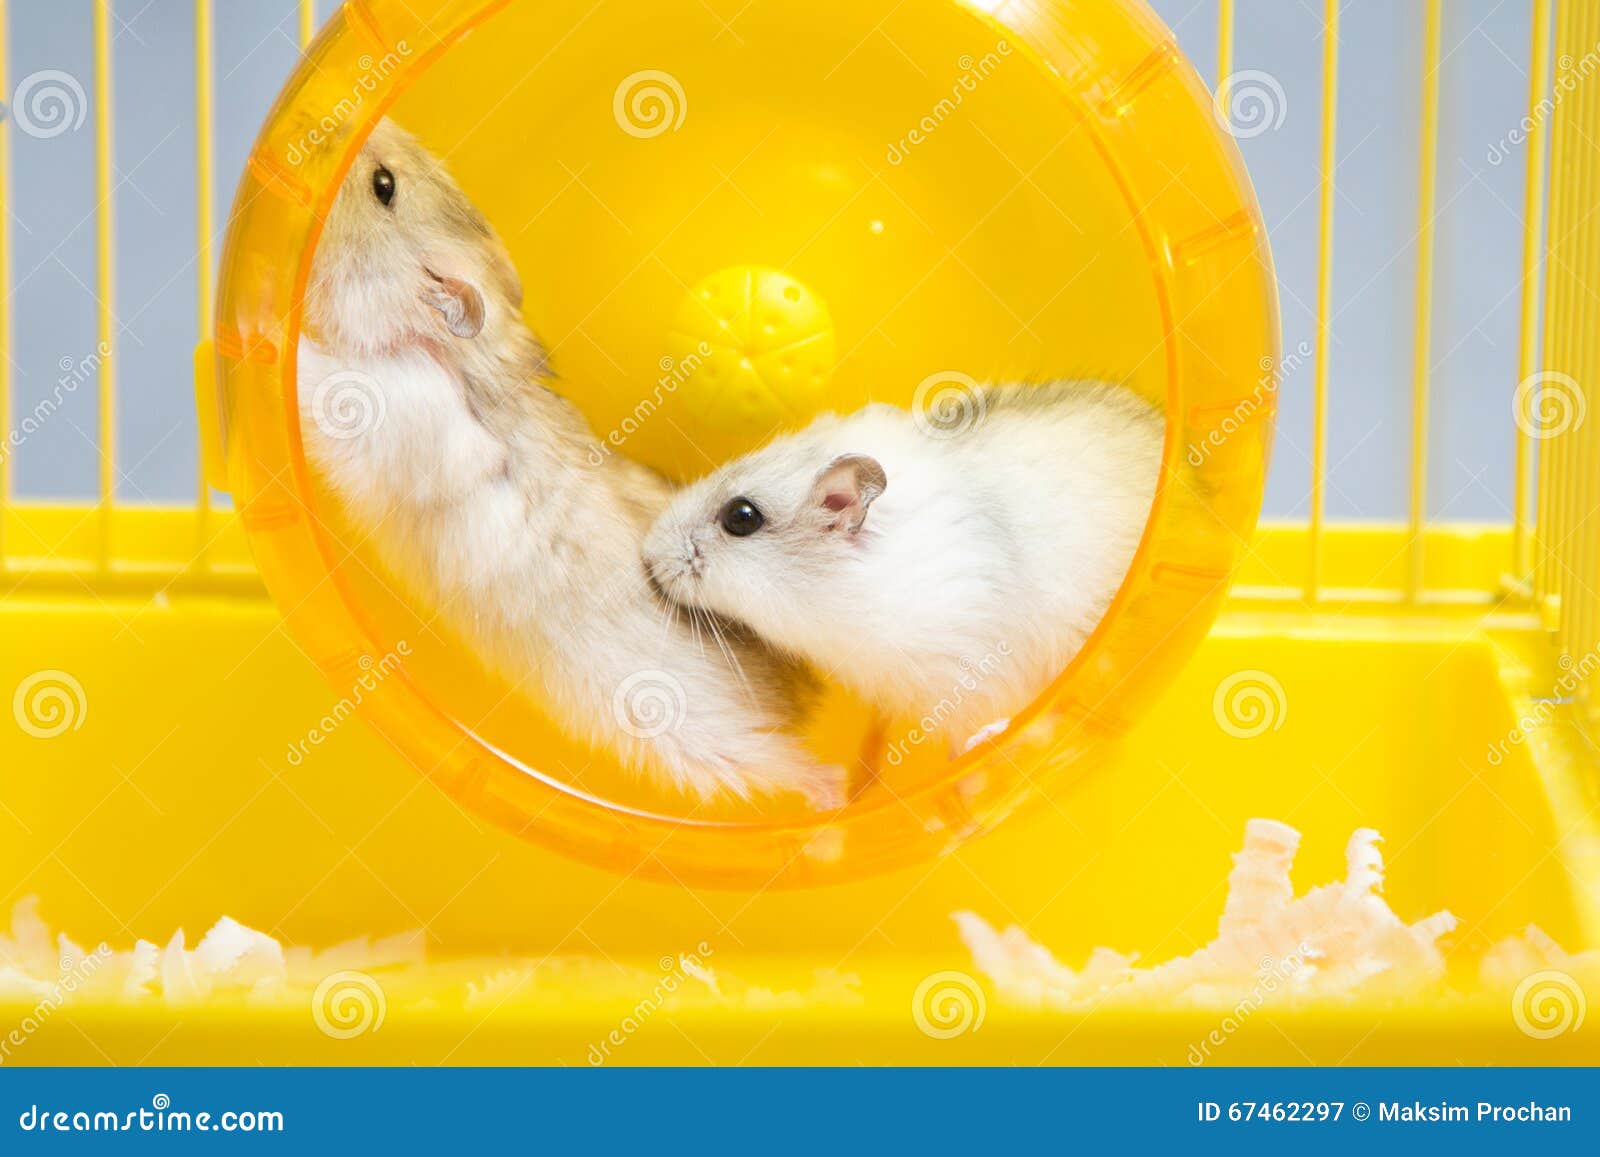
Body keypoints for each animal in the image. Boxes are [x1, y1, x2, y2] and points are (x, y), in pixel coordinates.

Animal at [296, 118, 845, 810]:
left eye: (382, 185)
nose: (344, 126)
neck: (462, 351)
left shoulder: (393, 412)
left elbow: (319, 378)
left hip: (692, 733)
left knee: (784, 764)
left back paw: (835, 801)